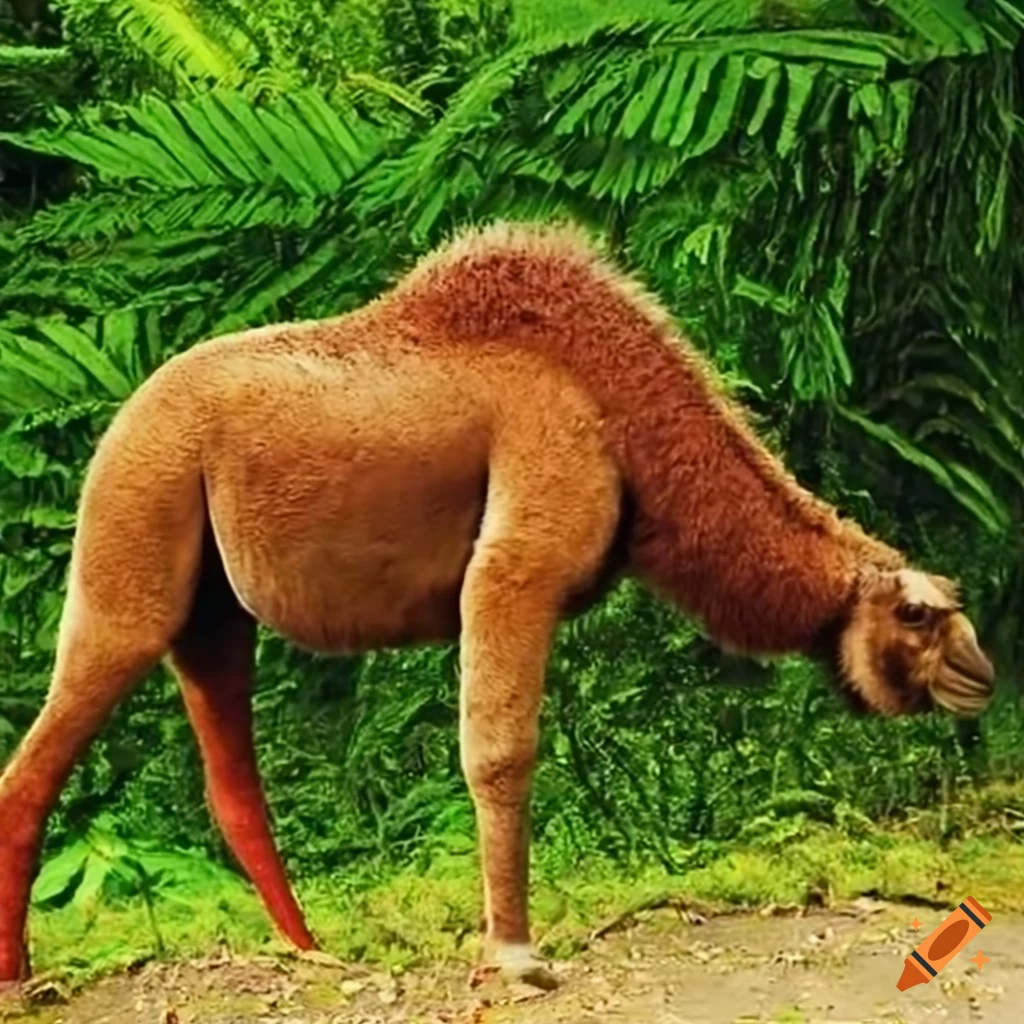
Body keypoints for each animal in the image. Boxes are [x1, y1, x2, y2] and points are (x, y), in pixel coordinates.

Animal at [0, 221, 995, 990]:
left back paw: (315, 953)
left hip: (212, 606)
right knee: (52, 739)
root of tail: (122, 418)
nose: (981, 673)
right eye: (917, 615)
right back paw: (25, 976)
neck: (630, 418)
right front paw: (517, 955)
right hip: (137, 512)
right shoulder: (521, 552)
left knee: (230, 772)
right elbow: (500, 749)